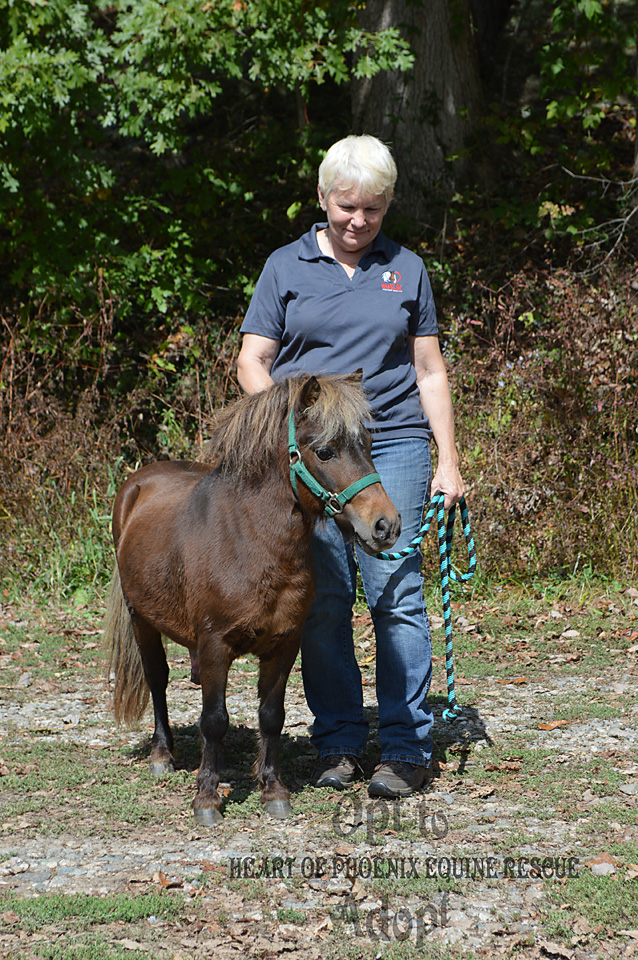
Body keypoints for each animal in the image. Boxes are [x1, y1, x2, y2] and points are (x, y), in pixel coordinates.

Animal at [104, 374, 401, 825]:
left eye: (367, 444)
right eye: (325, 451)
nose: (386, 525)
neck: (249, 540)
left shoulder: (284, 644)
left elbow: (270, 716)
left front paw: (272, 790)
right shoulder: (215, 645)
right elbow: (213, 719)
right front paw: (206, 799)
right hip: (143, 622)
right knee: (158, 681)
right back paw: (162, 754)